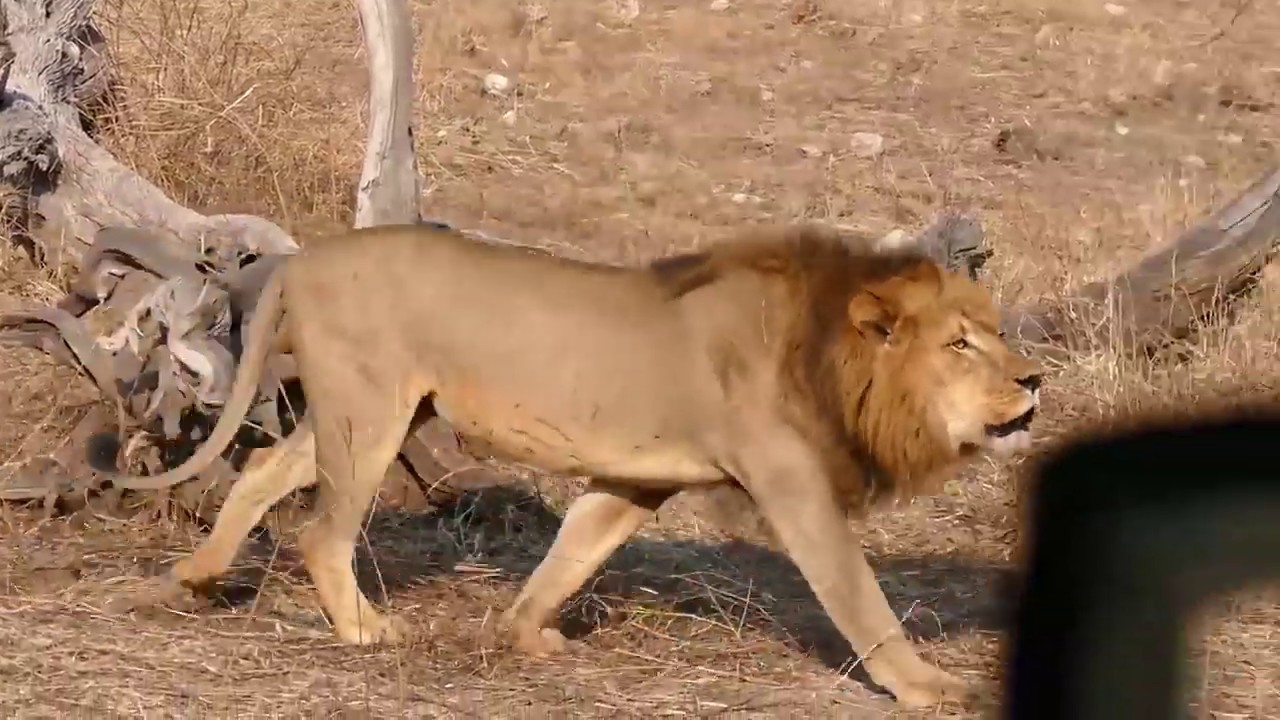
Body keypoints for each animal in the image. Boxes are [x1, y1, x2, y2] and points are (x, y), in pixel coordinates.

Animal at [103, 222, 1042, 708]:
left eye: (995, 332)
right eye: (960, 346)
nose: (1034, 380)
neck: (830, 358)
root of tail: (303, 257)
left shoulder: (640, 480)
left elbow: (573, 553)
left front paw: (525, 632)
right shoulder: (792, 483)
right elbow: (860, 596)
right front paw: (926, 684)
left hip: (367, 411)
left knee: (264, 470)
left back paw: (198, 576)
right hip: (368, 414)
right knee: (322, 533)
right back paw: (364, 629)